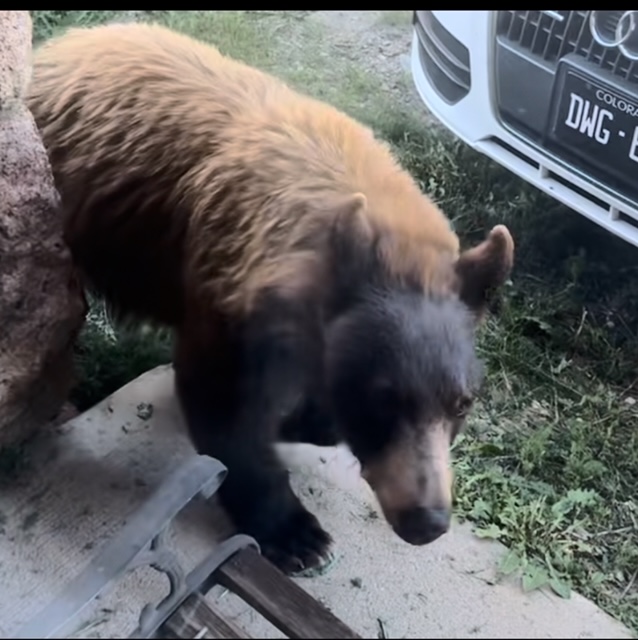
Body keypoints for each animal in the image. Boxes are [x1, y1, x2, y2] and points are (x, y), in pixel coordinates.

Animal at [27, 21, 514, 575]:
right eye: (383, 397)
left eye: (462, 402)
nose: (426, 520)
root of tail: (60, 44)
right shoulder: (224, 296)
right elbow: (225, 407)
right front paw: (295, 533)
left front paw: (312, 422)